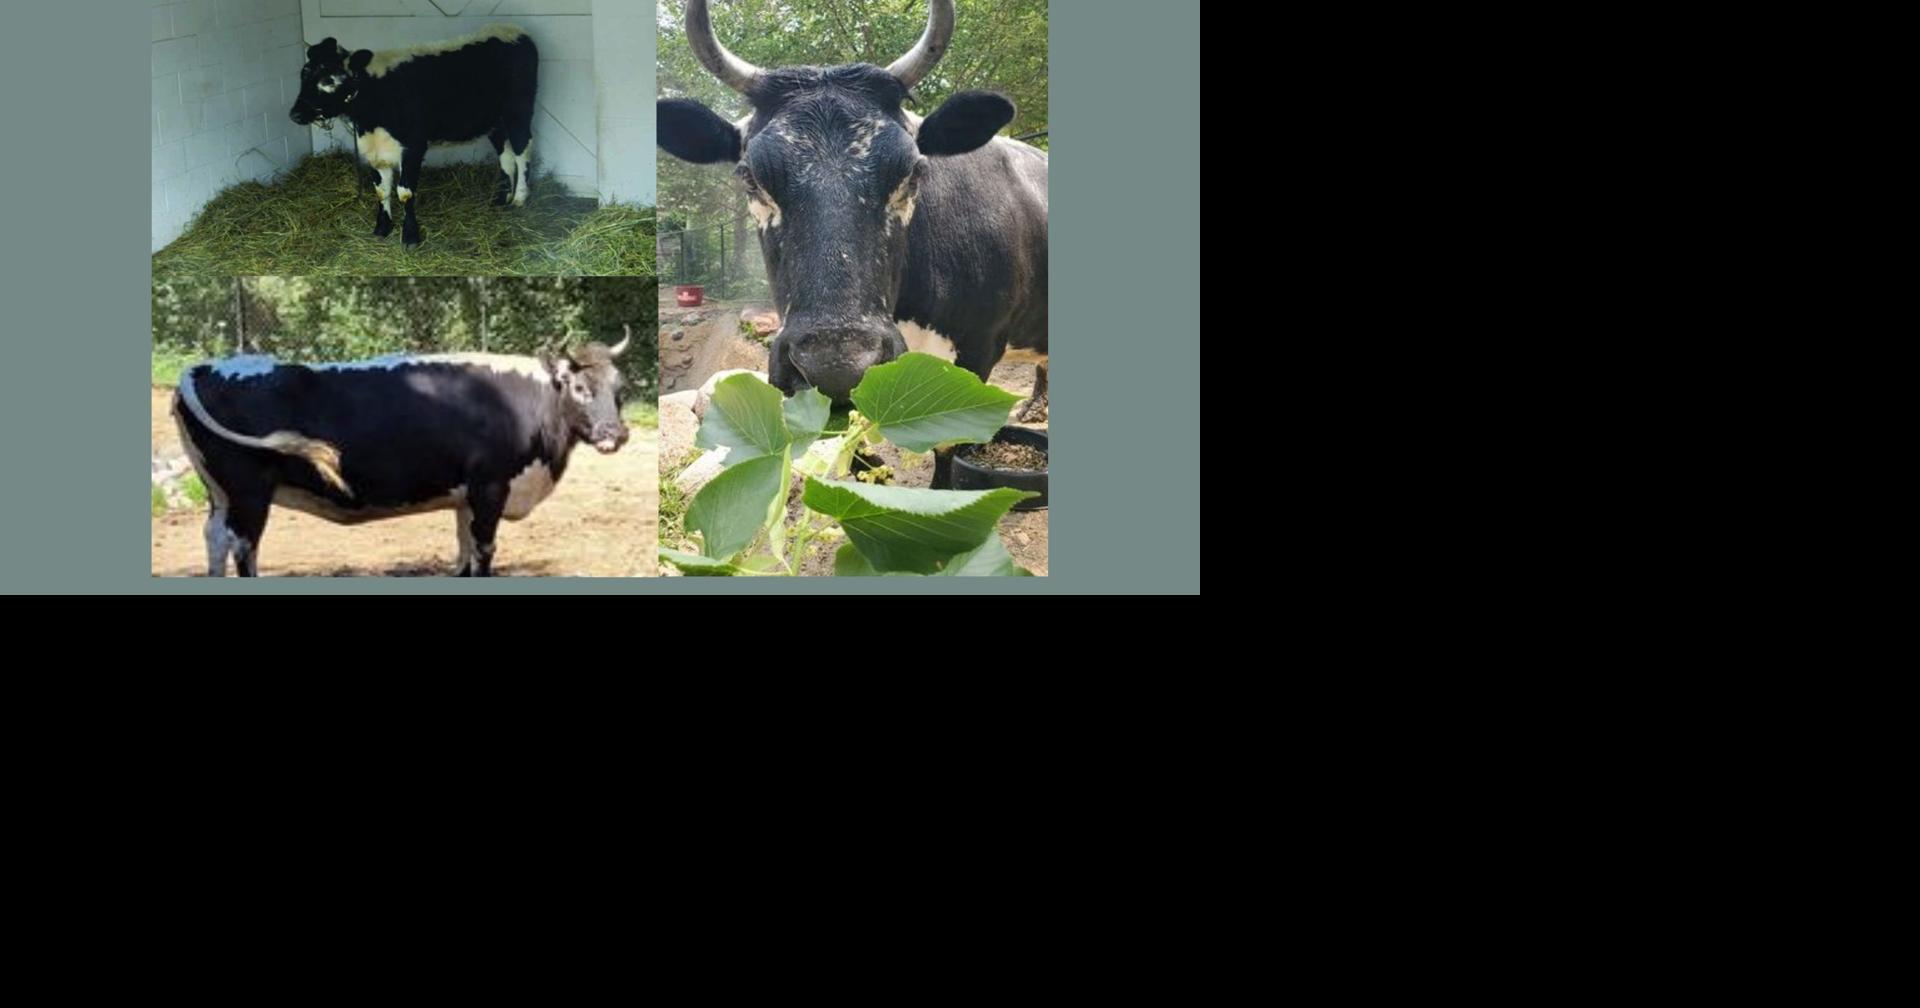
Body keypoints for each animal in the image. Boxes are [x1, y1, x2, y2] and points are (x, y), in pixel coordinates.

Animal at [170, 331, 633, 577]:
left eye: (620, 388)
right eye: (579, 388)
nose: (615, 434)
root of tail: (202, 368)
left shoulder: (466, 495)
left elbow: (464, 552)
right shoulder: (490, 487)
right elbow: (484, 551)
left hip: (220, 492)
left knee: (214, 537)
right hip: (249, 492)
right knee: (243, 545)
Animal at [288, 24, 538, 249]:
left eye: (329, 80)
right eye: (303, 74)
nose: (295, 114)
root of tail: (514, 30)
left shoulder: (413, 146)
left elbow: (405, 193)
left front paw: (410, 237)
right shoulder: (374, 150)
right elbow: (381, 190)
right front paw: (382, 228)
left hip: (519, 110)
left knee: (522, 148)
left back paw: (520, 198)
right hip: (494, 122)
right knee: (505, 153)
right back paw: (502, 198)